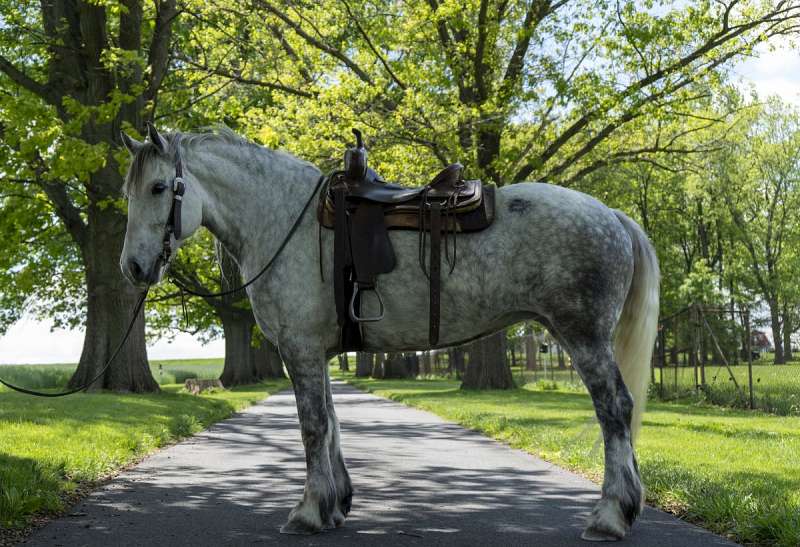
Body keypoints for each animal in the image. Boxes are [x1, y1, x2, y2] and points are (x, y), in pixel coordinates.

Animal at [119, 124, 659, 541]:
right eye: (129, 193)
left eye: (159, 188)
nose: (134, 267)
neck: (283, 220)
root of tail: (611, 216)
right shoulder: (318, 353)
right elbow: (332, 423)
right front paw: (336, 504)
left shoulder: (300, 350)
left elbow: (312, 427)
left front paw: (308, 512)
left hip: (583, 336)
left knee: (614, 410)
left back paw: (610, 516)